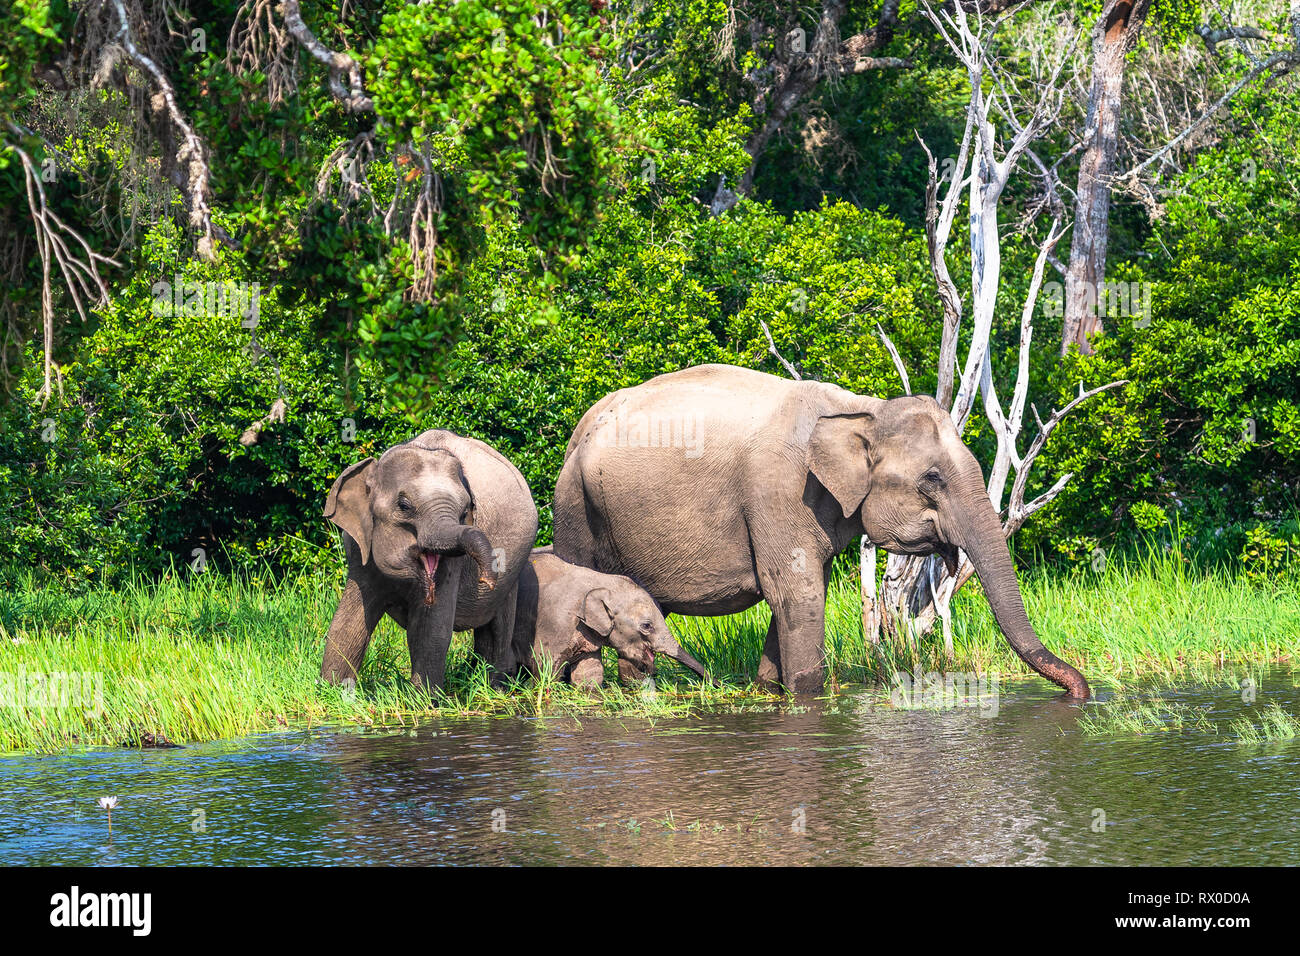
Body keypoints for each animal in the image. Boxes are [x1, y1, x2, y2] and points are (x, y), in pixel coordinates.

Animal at [320, 429, 538, 693]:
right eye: (404, 505)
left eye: (465, 511)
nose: (486, 578)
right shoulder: (359, 548)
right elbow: (348, 621)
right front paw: (332, 692)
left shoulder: (452, 564)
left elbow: (430, 630)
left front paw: (422, 699)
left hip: (514, 572)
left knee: (499, 625)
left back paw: (494, 687)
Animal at [512, 547, 712, 688]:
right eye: (647, 626)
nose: (714, 683)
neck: (601, 581)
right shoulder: (554, 624)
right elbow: (547, 670)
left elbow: (590, 673)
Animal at [552, 363, 1089, 698]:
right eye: (932, 480)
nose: (1081, 695)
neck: (861, 409)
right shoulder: (778, 492)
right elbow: (797, 593)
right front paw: (805, 700)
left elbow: (799, 595)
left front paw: (768, 691)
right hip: (575, 506)